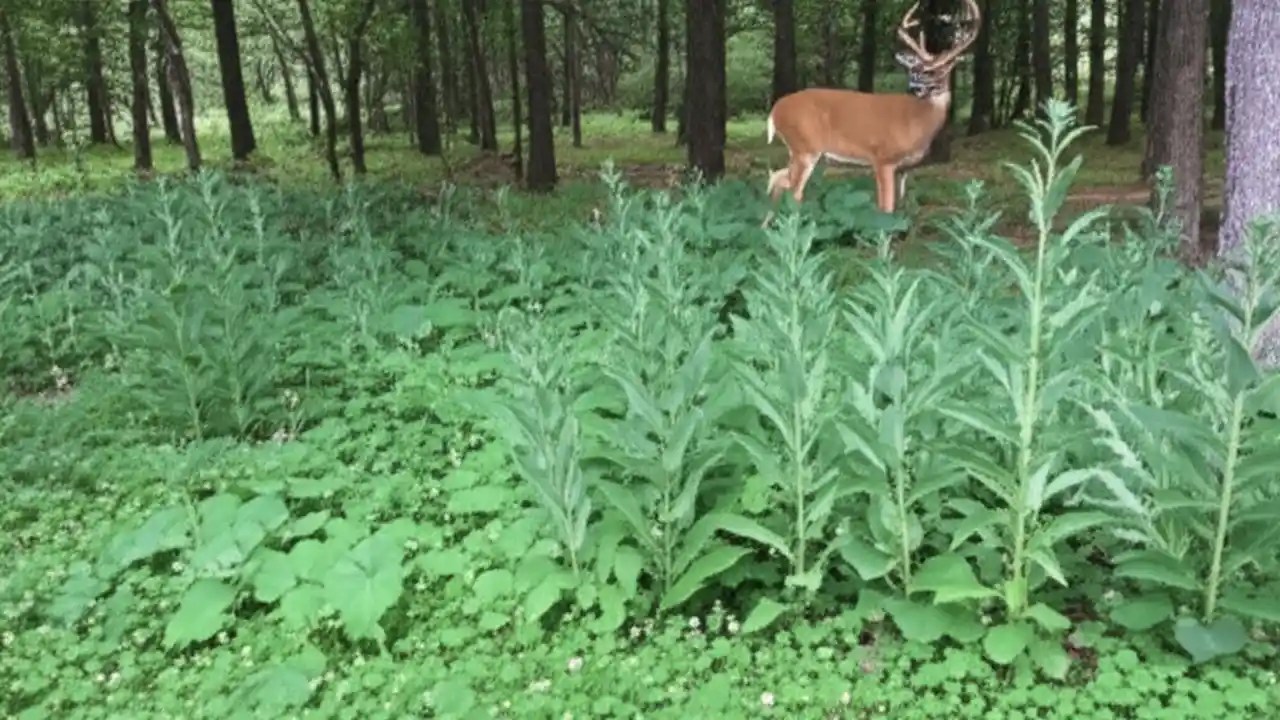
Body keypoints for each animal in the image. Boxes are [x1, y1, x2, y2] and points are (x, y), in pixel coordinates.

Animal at [761, 0, 981, 227]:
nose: (915, 86)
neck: (917, 121)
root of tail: (775, 110)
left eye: (940, 70)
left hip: (804, 152)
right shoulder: (883, 157)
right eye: (915, 69)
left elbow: (899, 209)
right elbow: (886, 209)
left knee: (778, 179)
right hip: (805, 147)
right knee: (793, 192)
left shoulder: (904, 169)